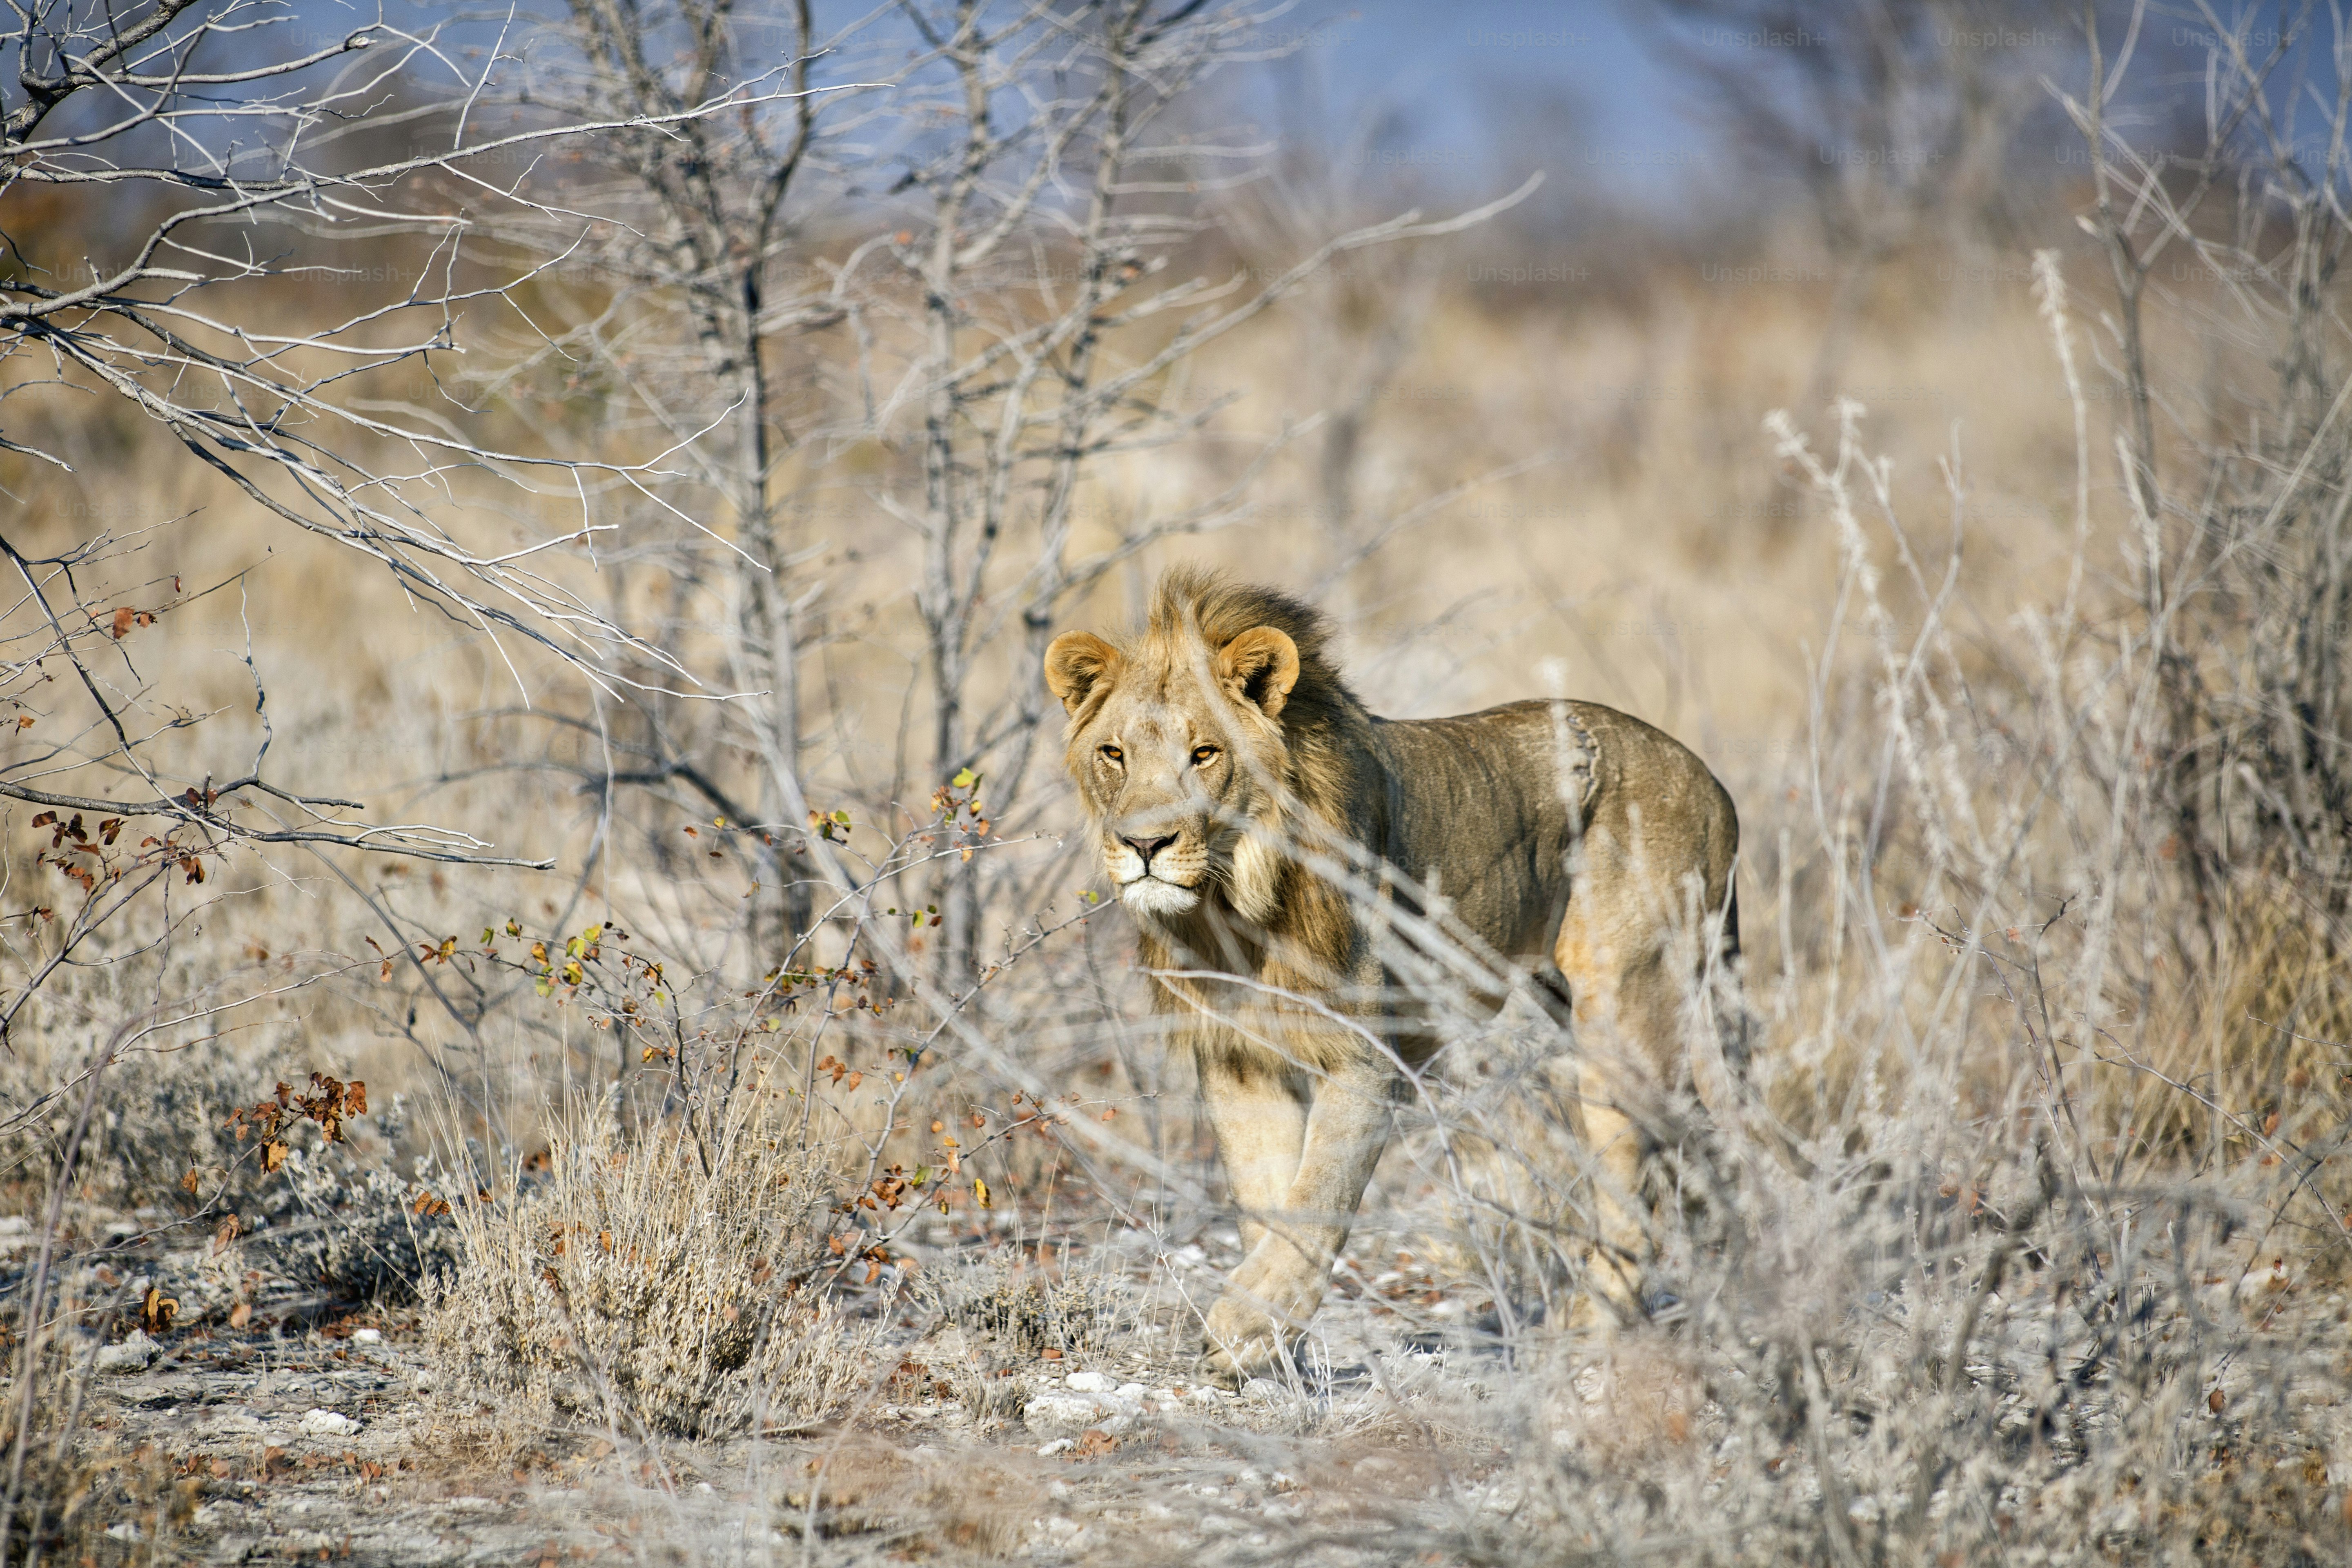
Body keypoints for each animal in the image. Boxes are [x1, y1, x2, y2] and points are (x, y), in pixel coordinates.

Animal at [1045, 568, 1742, 1382]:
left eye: (1206, 753)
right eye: (1114, 754)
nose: (1146, 844)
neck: (1236, 903)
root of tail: (1710, 781)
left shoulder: (1365, 1060)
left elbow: (1318, 1198)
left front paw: (1242, 1330)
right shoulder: (1241, 1058)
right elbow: (1268, 1200)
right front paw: (1273, 1349)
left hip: (1625, 1010)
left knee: (1636, 1174)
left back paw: (1591, 1332)